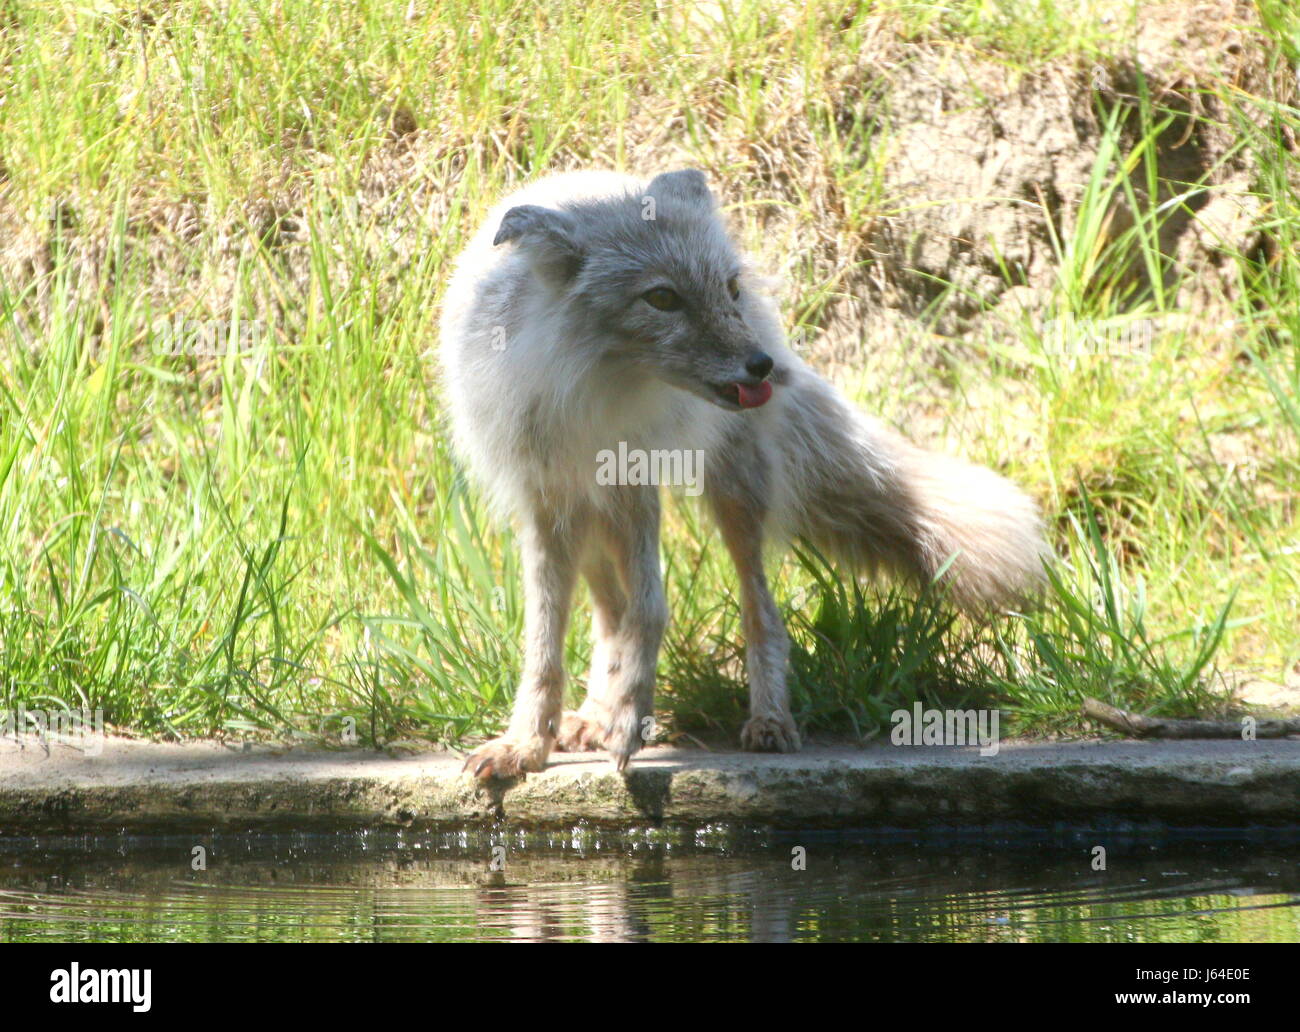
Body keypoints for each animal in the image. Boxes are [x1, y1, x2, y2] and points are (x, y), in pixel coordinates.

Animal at [439, 168, 1048, 780]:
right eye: (662, 298)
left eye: (727, 289)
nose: (763, 367)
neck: (587, 392)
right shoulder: (546, 506)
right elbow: (545, 648)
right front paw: (526, 745)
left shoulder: (635, 489)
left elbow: (651, 613)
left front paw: (631, 719)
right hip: (591, 526)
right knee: (609, 617)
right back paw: (592, 716)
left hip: (732, 497)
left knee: (762, 614)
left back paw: (768, 720)